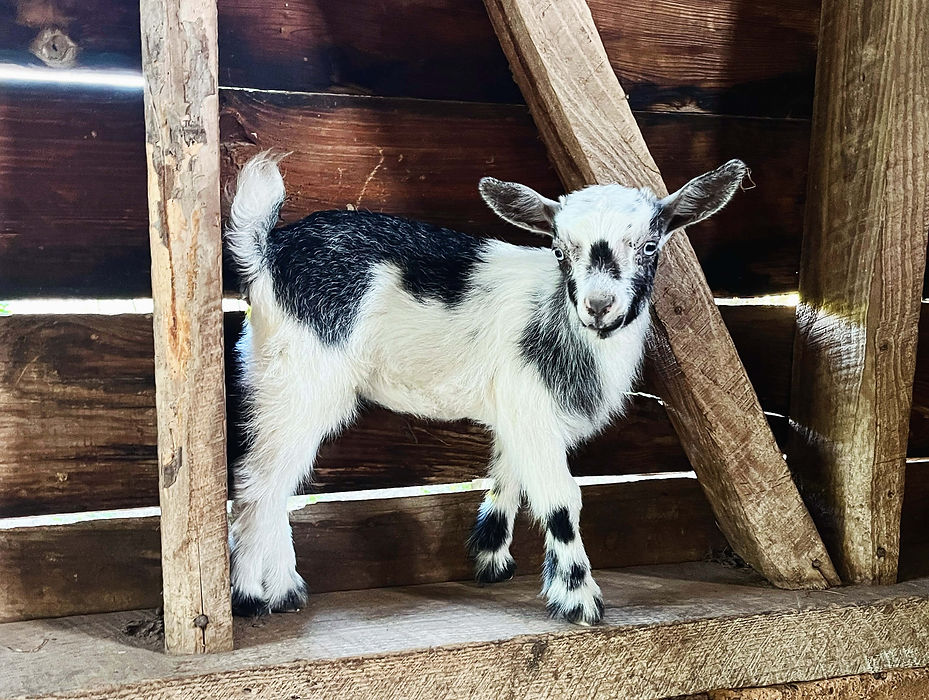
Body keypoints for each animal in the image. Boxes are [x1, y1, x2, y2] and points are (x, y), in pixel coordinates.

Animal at [225, 153, 747, 625]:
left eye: (651, 246)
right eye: (560, 251)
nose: (599, 306)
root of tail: (266, 251)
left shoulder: (519, 408)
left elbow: (507, 476)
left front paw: (491, 559)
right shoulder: (531, 405)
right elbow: (561, 500)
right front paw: (579, 601)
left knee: (275, 482)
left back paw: (283, 591)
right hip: (298, 378)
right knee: (260, 481)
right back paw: (254, 595)